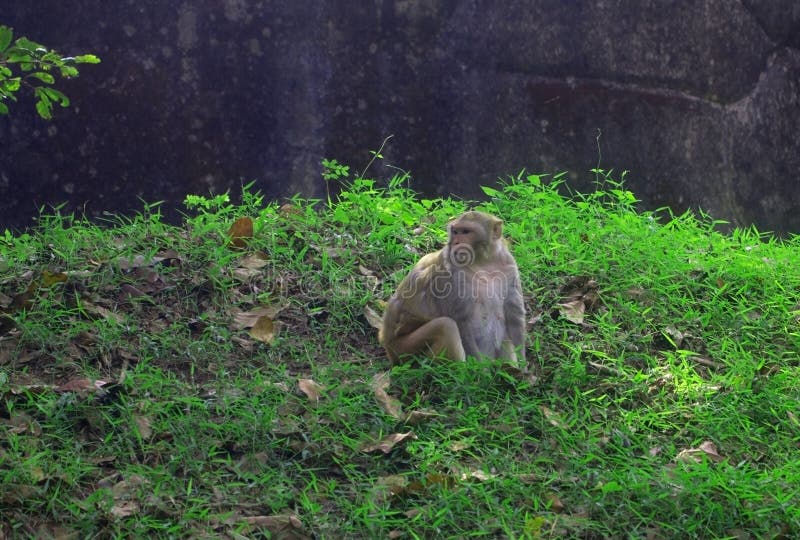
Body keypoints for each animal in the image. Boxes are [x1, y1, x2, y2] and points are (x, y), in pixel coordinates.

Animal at [379, 211, 525, 364]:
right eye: (455, 232)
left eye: (466, 232)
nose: (456, 242)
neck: (484, 262)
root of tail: (388, 346)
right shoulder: (451, 274)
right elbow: (461, 320)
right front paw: (479, 368)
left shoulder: (509, 265)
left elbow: (514, 315)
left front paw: (523, 367)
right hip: (404, 350)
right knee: (446, 326)